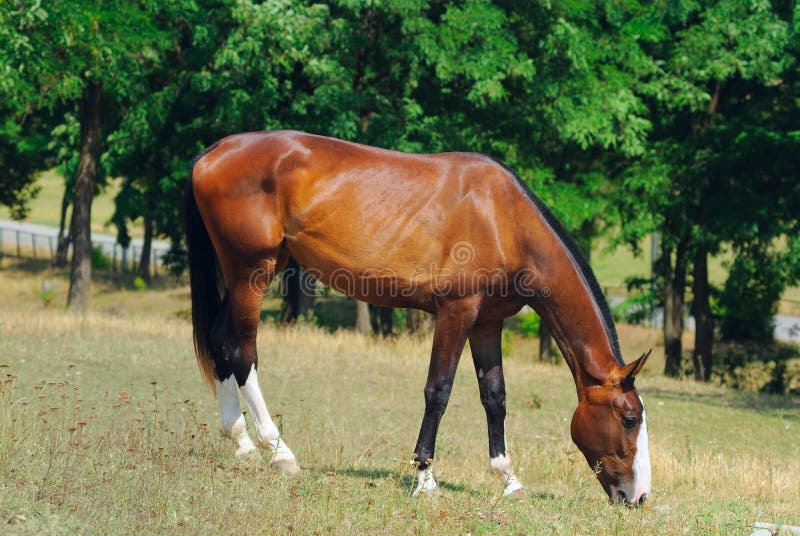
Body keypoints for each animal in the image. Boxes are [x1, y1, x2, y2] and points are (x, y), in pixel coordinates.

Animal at [184, 130, 652, 505]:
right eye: (629, 418)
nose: (639, 496)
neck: (503, 218)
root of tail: (214, 151)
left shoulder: (487, 323)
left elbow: (494, 397)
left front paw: (508, 479)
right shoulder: (455, 312)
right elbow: (438, 392)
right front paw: (425, 477)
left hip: (251, 272)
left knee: (220, 341)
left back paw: (240, 441)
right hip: (252, 272)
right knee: (242, 352)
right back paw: (278, 451)